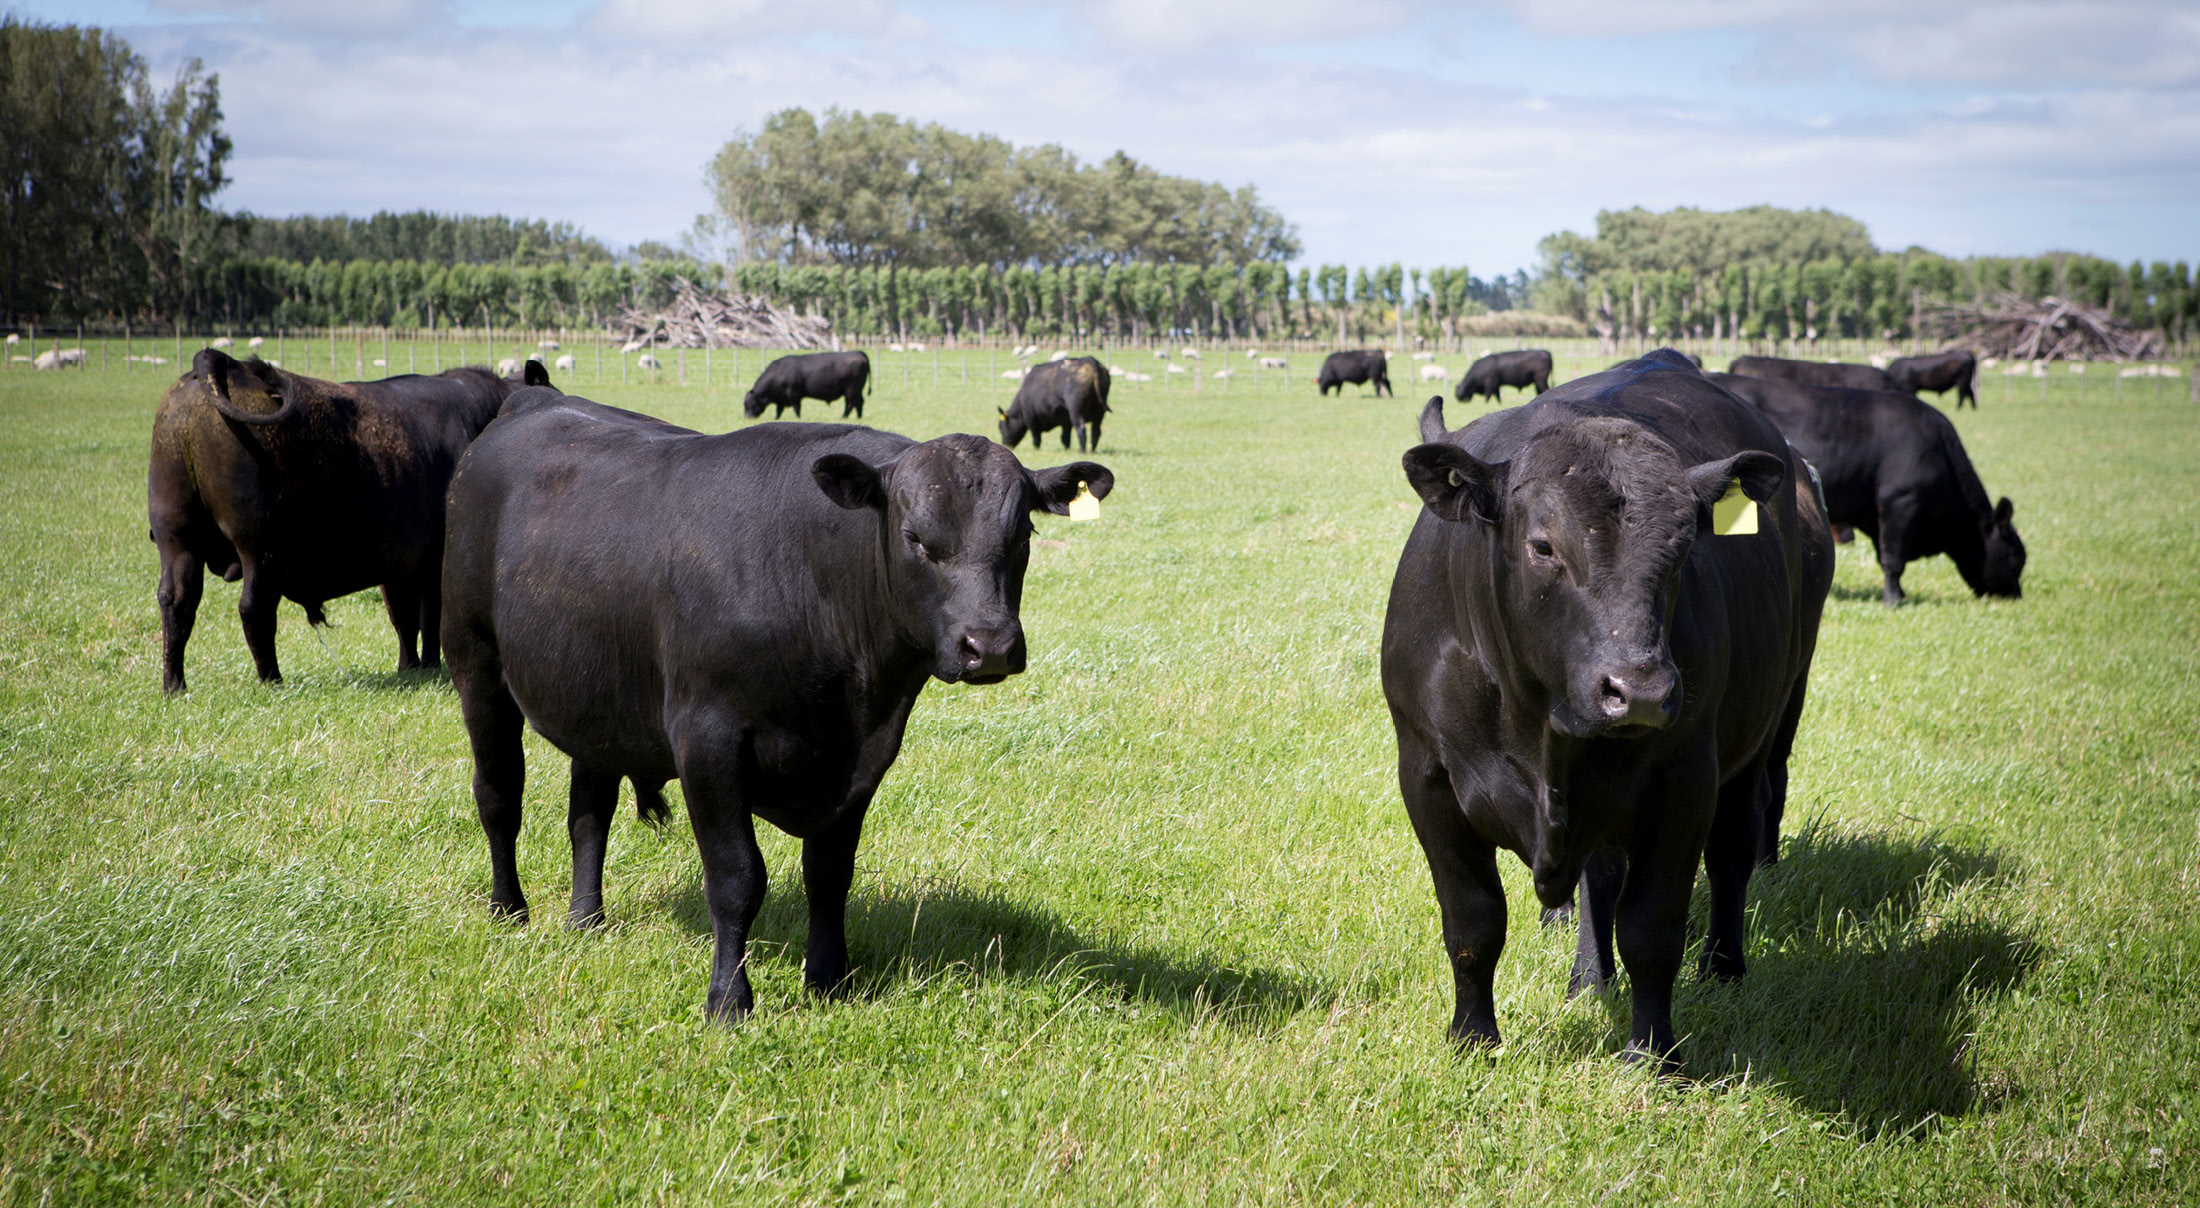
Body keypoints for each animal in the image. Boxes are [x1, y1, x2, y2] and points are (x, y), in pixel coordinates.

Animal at [147, 350, 552, 694]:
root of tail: (226, 361)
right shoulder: (434, 558)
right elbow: (429, 614)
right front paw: (431, 665)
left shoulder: (399, 560)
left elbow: (403, 616)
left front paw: (410, 666)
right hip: (261, 548)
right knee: (254, 608)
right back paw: (272, 679)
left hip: (177, 537)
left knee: (176, 601)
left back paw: (174, 685)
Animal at [440, 390, 1113, 1020]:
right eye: (916, 539)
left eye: (1022, 535)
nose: (990, 646)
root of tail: (535, 398)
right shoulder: (707, 739)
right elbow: (737, 876)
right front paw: (728, 1000)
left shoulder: (864, 755)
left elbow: (830, 874)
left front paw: (830, 980)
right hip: (476, 664)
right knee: (498, 794)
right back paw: (509, 909)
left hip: (596, 697)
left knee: (589, 810)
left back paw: (585, 919)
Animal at [743, 351, 873, 420]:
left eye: (751, 404)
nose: (747, 418)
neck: (780, 372)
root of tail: (858, 352)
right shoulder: (781, 398)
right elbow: (779, 411)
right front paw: (776, 419)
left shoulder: (794, 394)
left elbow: (796, 408)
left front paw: (798, 419)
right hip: (856, 390)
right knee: (859, 403)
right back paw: (859, 418)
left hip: (851, 390)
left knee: (850, 404)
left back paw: (843, 418)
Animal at [1383, 350, 1834, 1063]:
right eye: (1543, 545)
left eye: (1684, 547)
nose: (1640, 691)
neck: (1540, 722)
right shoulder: (1426, 774)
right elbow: (1473, 921)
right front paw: (1473, 1038)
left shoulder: (1684, 779)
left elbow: (1652, 931)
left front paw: (1652, 1054)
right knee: (1599, 877)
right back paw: (1590, 981)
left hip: (1764, 728)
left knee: (1735, 845)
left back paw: (1724, 966)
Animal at [1707, 372, 2024, 606]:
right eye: (2016, 557)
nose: (2016, 595)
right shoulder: (1901, 501)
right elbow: (1893, 559)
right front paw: (1894, 600)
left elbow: (1885, 557)